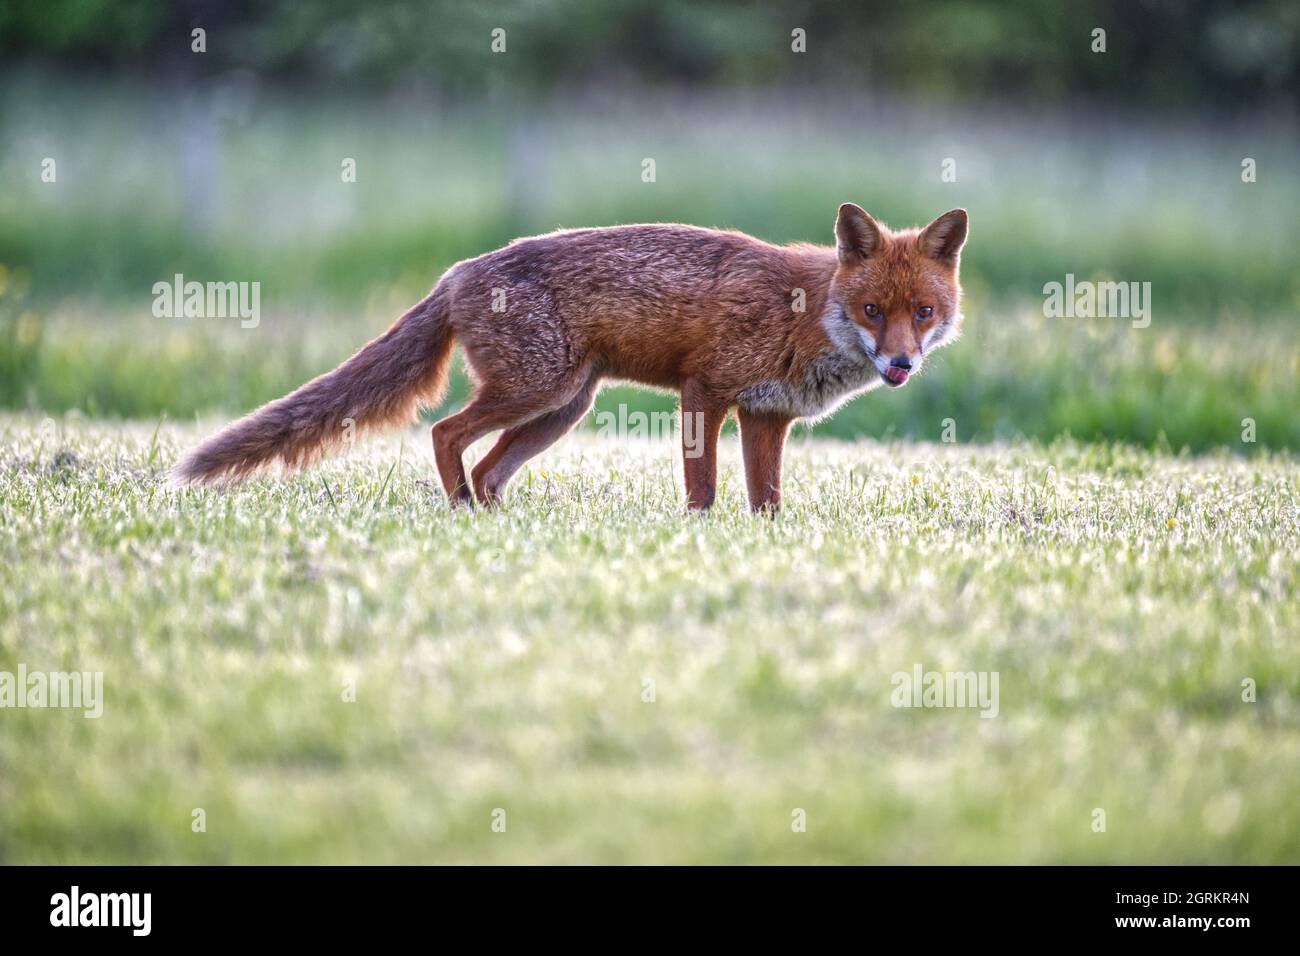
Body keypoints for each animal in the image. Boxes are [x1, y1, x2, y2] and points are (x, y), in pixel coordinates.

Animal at [173, 203, 968, 512]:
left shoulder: (766, 417)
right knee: (445, 433)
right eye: (873, 312)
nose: (900, 366)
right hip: (535, 392)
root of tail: (458, 271)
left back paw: (490, 520)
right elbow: (704, 490)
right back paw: (459, 510)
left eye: (922, 314)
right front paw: (701, 538)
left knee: (489, 467)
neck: (805, 315)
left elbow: (765, 502)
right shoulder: (704, 391)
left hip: (561, 409)